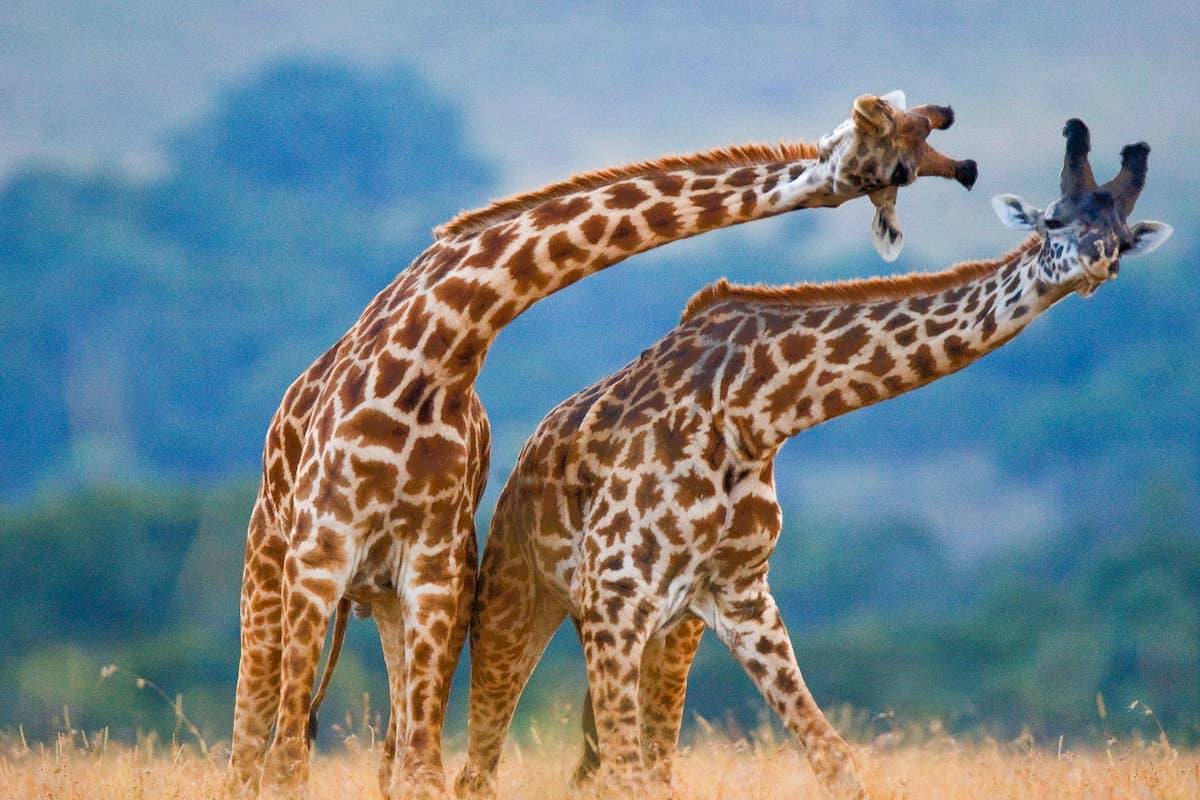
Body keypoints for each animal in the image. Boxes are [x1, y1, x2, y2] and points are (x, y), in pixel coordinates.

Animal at [227, 91, 977, 798]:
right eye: (902, 159)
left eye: (929, 142)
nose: (967, 169)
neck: (437, 354)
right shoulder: (320, 553)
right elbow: (288, 761)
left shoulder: (436, 572)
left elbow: (419, 768)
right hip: (272, 565)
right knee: (252, 741)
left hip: (385, 597)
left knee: (385, 749)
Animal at [454, 119, 1171, 799]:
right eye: (1053, 220)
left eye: (1122, 236)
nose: (1097, 264)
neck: (756, 413)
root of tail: (523, 462)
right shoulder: (615, 593)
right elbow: (629, 773)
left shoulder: (740, 596)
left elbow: (835, 760)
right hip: (521, 598)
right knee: (484, 766)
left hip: (667, 631)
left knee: (611, 765)